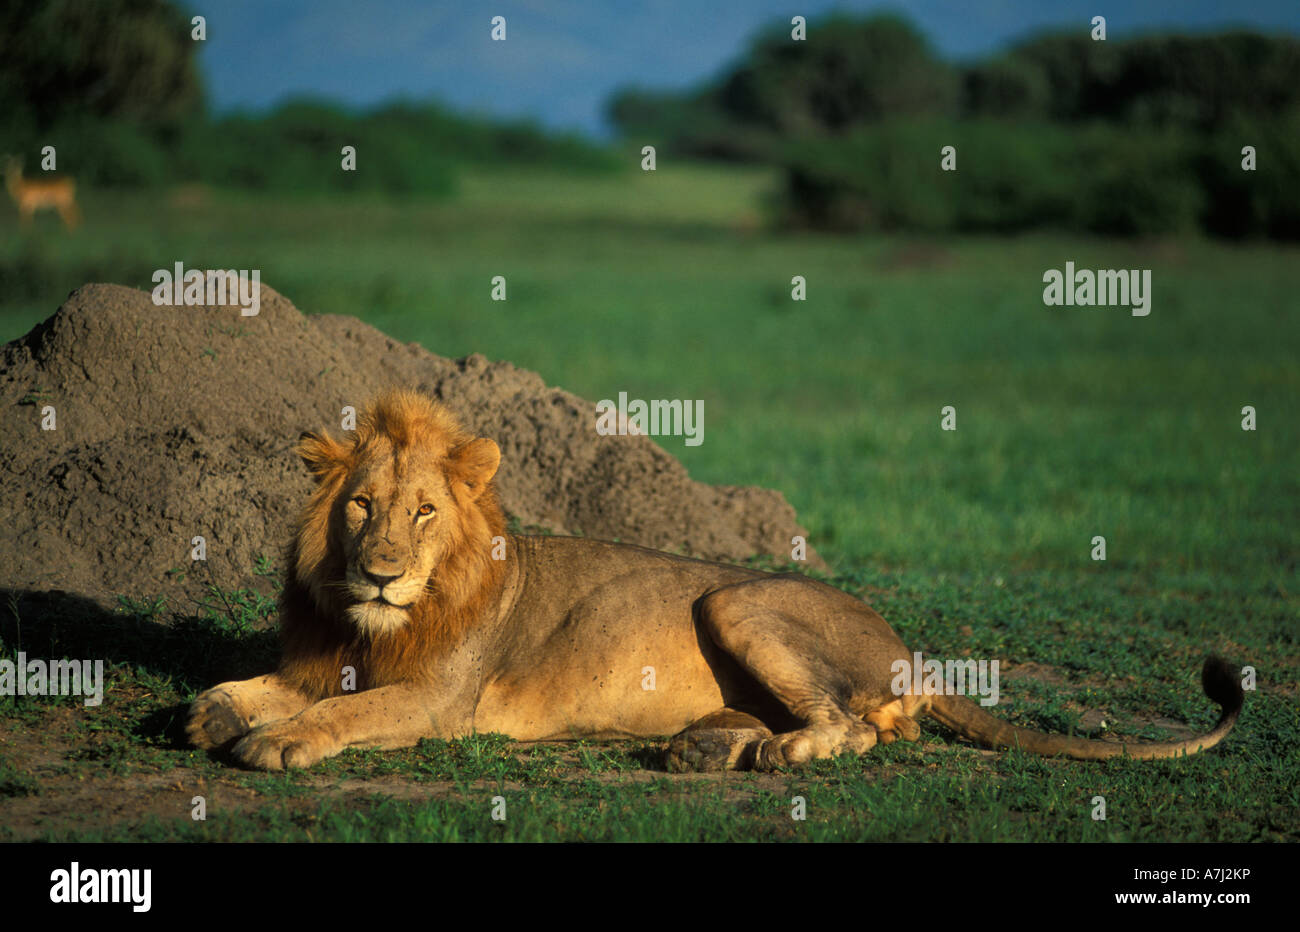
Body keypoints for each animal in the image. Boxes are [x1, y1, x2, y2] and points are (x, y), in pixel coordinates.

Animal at [187, 389, 1243, 771]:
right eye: (361, 508)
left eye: (423, 515)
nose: (379, 573)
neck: (373, 623)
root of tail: (913, 654)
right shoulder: (327, 656)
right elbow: (277, 685)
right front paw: (217, 709)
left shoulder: (441, 700)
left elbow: (348, 713)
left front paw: (274, 741)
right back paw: (704, 750)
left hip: (733, 598)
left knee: (853, 726)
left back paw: (777, 754)